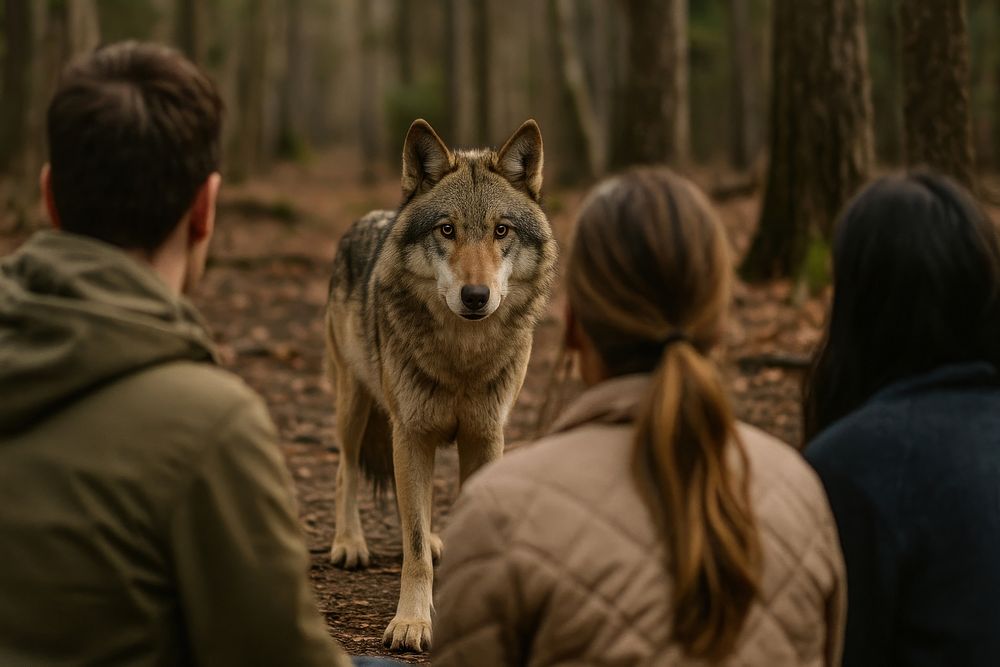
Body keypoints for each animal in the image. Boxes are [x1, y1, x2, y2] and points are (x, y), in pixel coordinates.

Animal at [324, 118, 557, 652]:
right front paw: (411, 622)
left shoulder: (484, 437)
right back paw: (349, 543)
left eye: (501, 230)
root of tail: (367, 217)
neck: (461, 359)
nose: (475, 296)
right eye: (446, 229)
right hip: (356, 406)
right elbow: (411, 545)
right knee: (347, 469)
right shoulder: (410, 434)